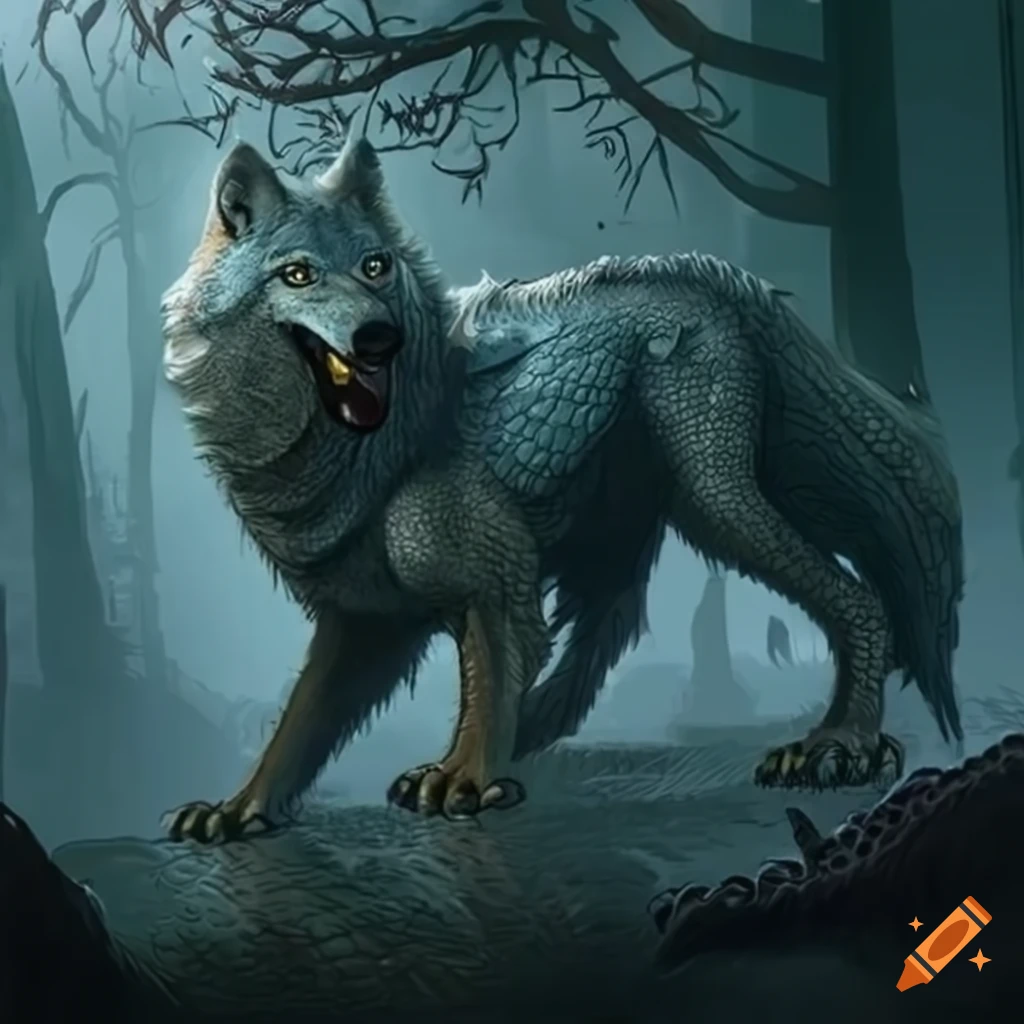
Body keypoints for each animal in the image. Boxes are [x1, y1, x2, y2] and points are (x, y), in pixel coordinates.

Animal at [160, 137, 963, 842]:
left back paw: (840, 741)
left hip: (716, 502)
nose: (379, 339)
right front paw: (239, 810)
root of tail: (705, 276)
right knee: (603, 630)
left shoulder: (487, 571)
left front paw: (464, 778)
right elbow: (296, 727)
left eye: (375, 267)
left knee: (852, 598)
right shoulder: (363, 620)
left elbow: (486, 675)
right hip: (623, 531)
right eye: (297, 275)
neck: (369, 449)